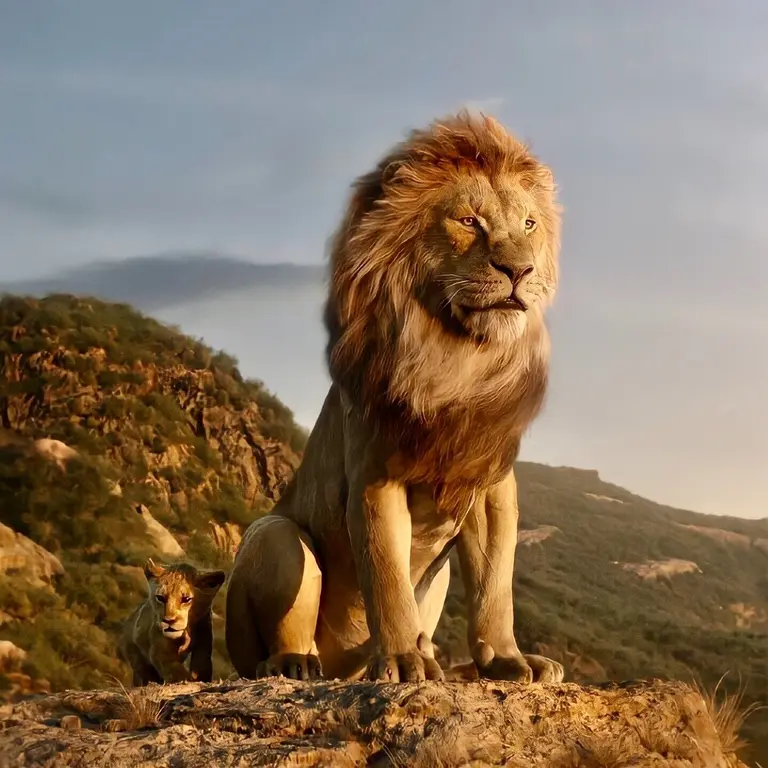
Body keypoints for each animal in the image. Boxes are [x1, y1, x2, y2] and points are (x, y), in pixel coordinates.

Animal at [226, 111, 565, 684]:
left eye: (528, 225)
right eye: (469, 221)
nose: (520, 271)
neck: (458, 360)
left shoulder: (492, 484)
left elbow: (494, 587)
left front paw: (508, 661)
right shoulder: (375, 477)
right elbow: (386, 576)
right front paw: (405, 662)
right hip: (275, 535)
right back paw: (298, 663)